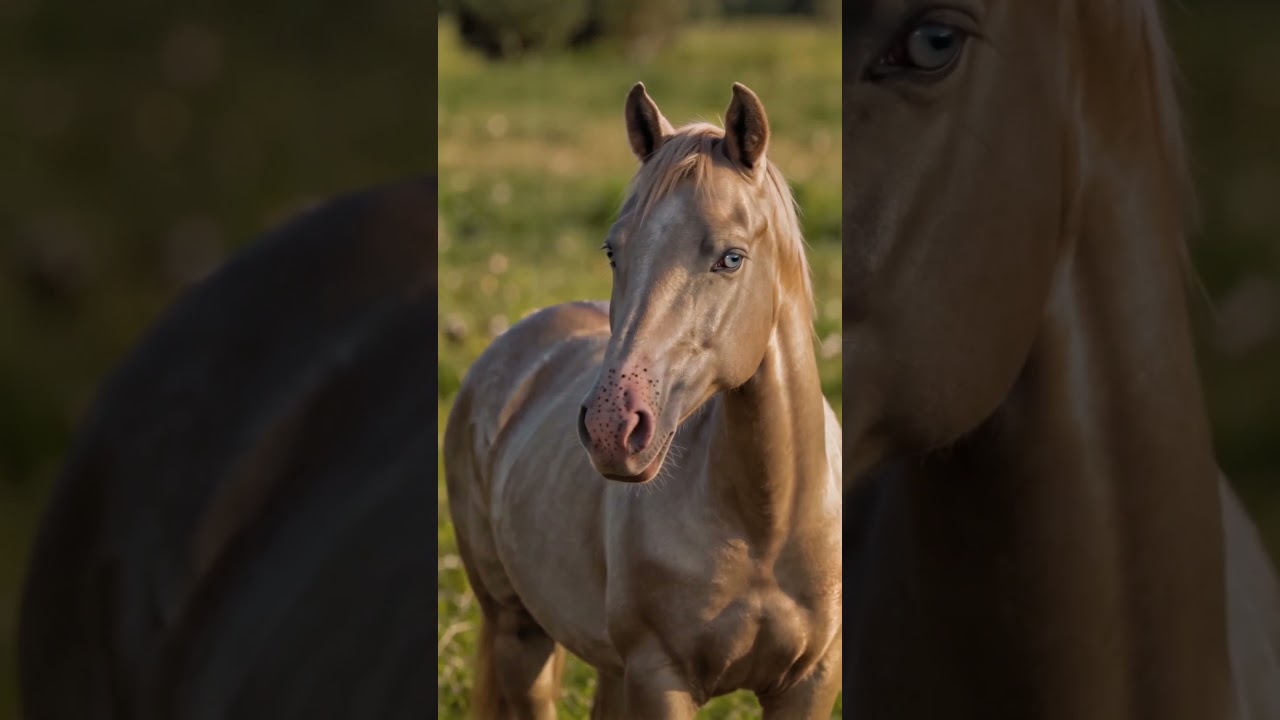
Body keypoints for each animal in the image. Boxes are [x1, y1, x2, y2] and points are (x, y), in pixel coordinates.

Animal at [444, 83, 842, 718]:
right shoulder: (660, 676)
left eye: (731, 257)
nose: (612, 428)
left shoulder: (811, 680)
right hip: (518, 632)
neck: (768, 522)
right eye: (613, 251)